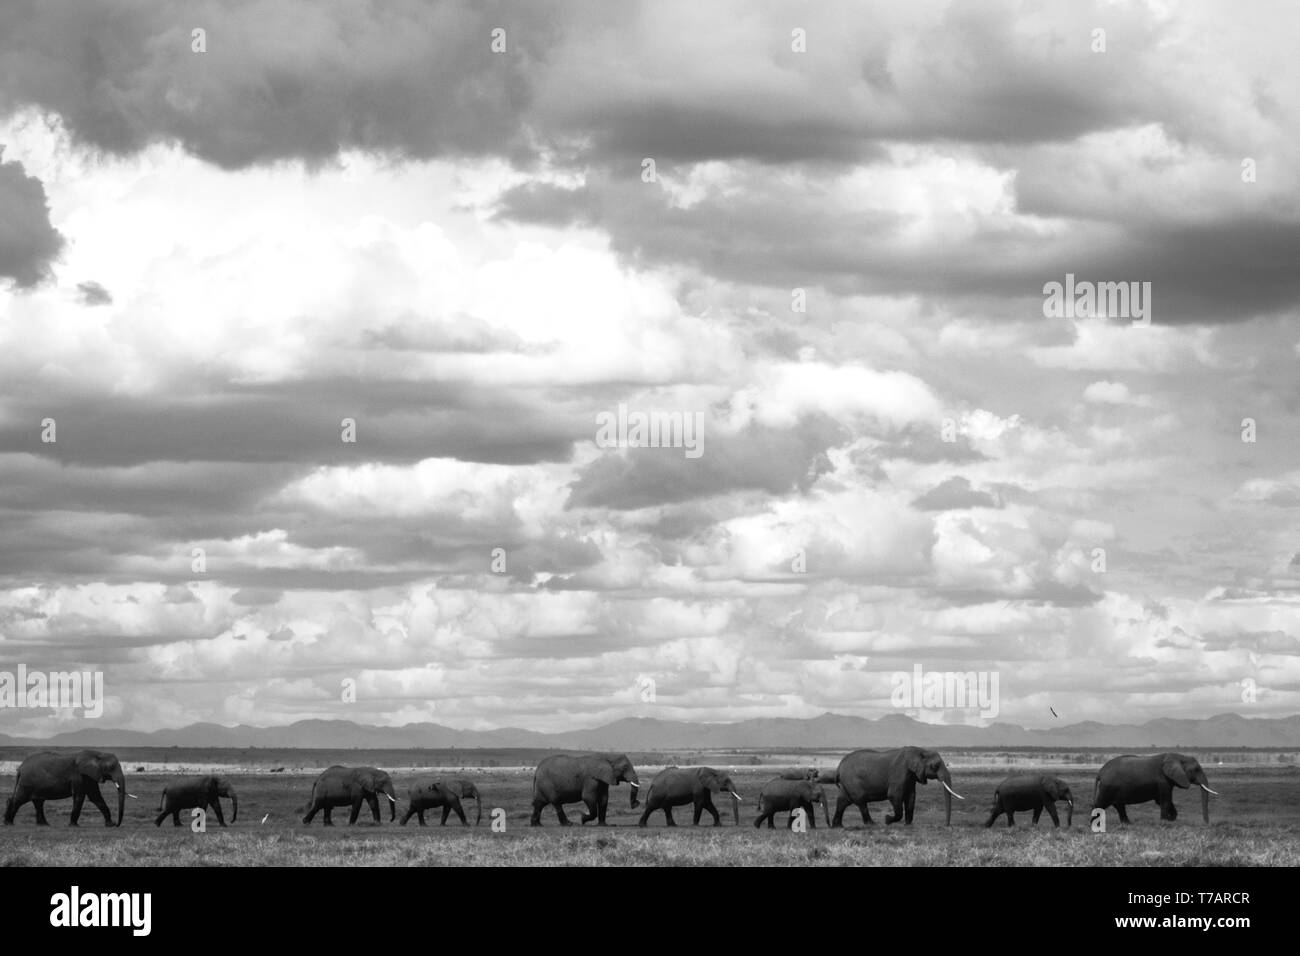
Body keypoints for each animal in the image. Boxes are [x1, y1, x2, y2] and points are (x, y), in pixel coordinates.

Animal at [827, 747, 964, 827]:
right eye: (935, 766)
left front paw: (908, 825)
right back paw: (872, 825)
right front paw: (887, 820)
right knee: (860, 802)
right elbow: (894, 795)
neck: (919, 751)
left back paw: (838, 826)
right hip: (852, 782)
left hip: (846, 784)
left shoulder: (911, 776)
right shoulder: (900, 772)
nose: (946, 825)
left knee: (842, 802)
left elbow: (911, 797)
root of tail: (839, 767)